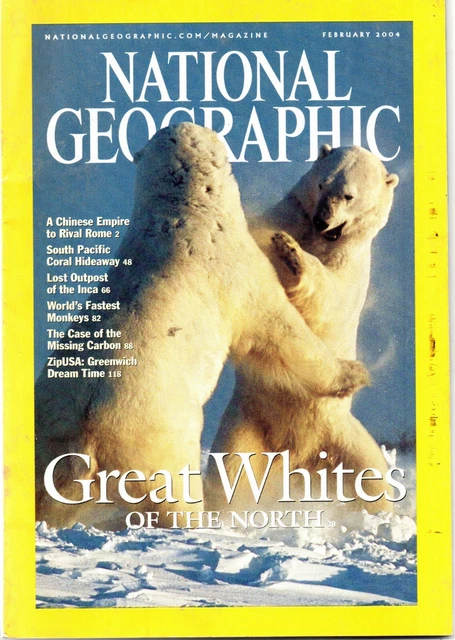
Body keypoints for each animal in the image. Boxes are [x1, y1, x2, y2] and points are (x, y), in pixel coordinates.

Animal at [35, 126, 369, 531]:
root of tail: (85, 441)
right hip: (159, 436)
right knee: (173, 494)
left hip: (44, 437)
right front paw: (354, 373)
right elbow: (279, 332)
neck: (184, 212)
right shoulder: (235, 267)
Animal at [205, 144, 400, 518]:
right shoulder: (290, 214)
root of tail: (298, 454)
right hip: (248, 425)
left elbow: (327, 296)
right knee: (230, 475)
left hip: (342, 441)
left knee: (373, 484)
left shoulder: (350, 266)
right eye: (322, 184)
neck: (322, 238)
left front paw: (292, 256)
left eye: (348, 194)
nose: (322, 219)